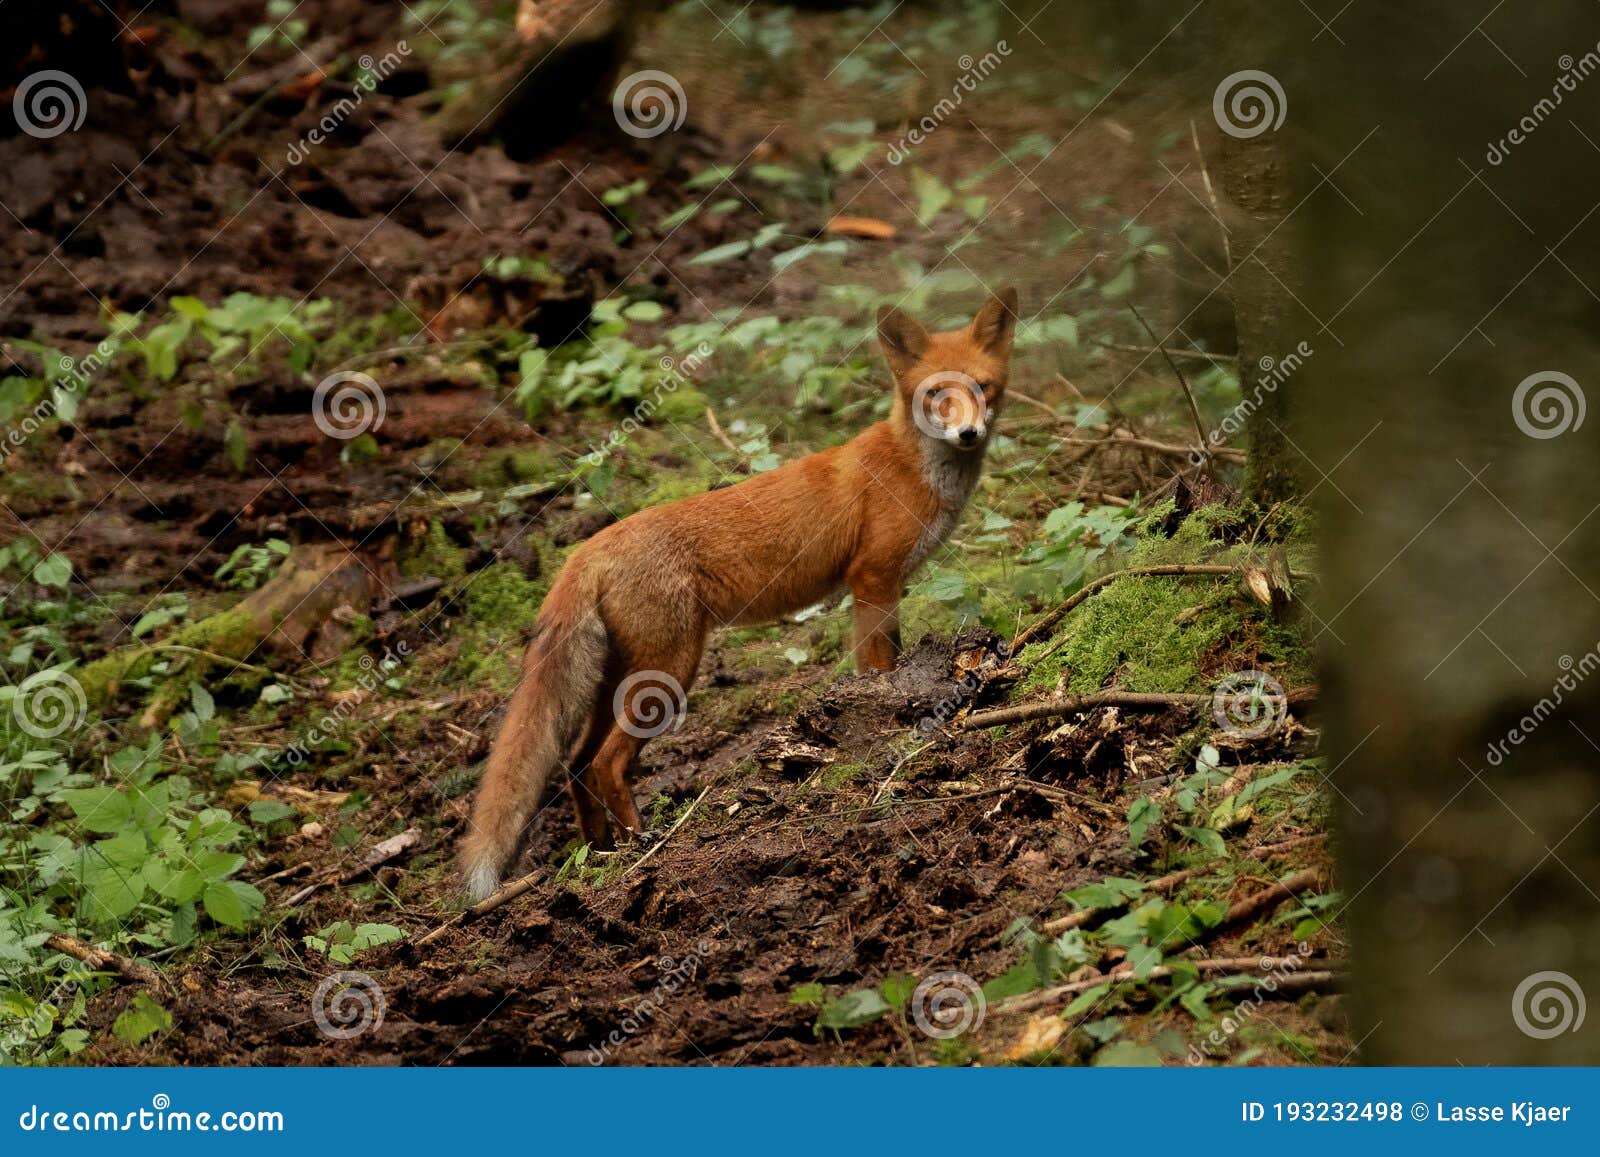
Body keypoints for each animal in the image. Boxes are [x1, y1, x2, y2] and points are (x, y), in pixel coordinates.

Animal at [459, 289, 1018, 900]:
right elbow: (877, 667)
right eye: (936, 395)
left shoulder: (884, 585)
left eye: (982, 387)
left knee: (576, 766)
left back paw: (600, 853)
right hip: (670, 671)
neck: (915, 468)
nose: (968, 434)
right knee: (606, 764)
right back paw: (642, 846)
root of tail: (587, 548)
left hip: (622, 676)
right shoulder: (871, 579)